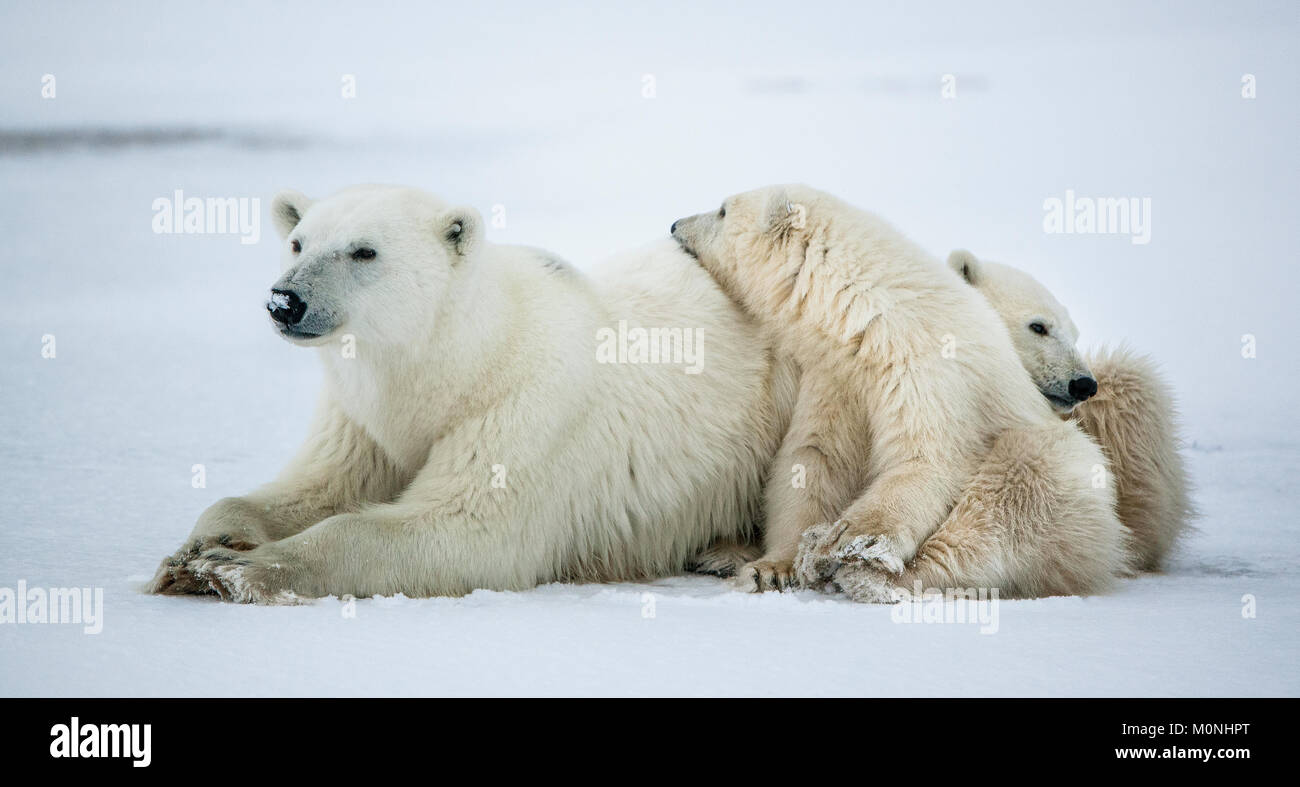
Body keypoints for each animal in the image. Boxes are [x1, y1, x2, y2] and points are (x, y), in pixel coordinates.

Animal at [147, 184, 798, 603]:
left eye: (364, 250)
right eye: (298, 243)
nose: (285, 301)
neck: (461, 359)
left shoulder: (525, 406)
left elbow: (465, 531)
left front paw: (235, 568)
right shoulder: (362, 418)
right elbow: (319, 486)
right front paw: (199, 548)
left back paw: (729, 551)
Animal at [671, 184, 1128, 601]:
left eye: (723, 209)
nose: (675, 224)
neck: (871, 314)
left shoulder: (929, 368)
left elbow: (927, 459)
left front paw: (851, 538)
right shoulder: (835, 376)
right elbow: (814, 459)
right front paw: (773, 568)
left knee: (1007, 499)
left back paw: (883, 577)